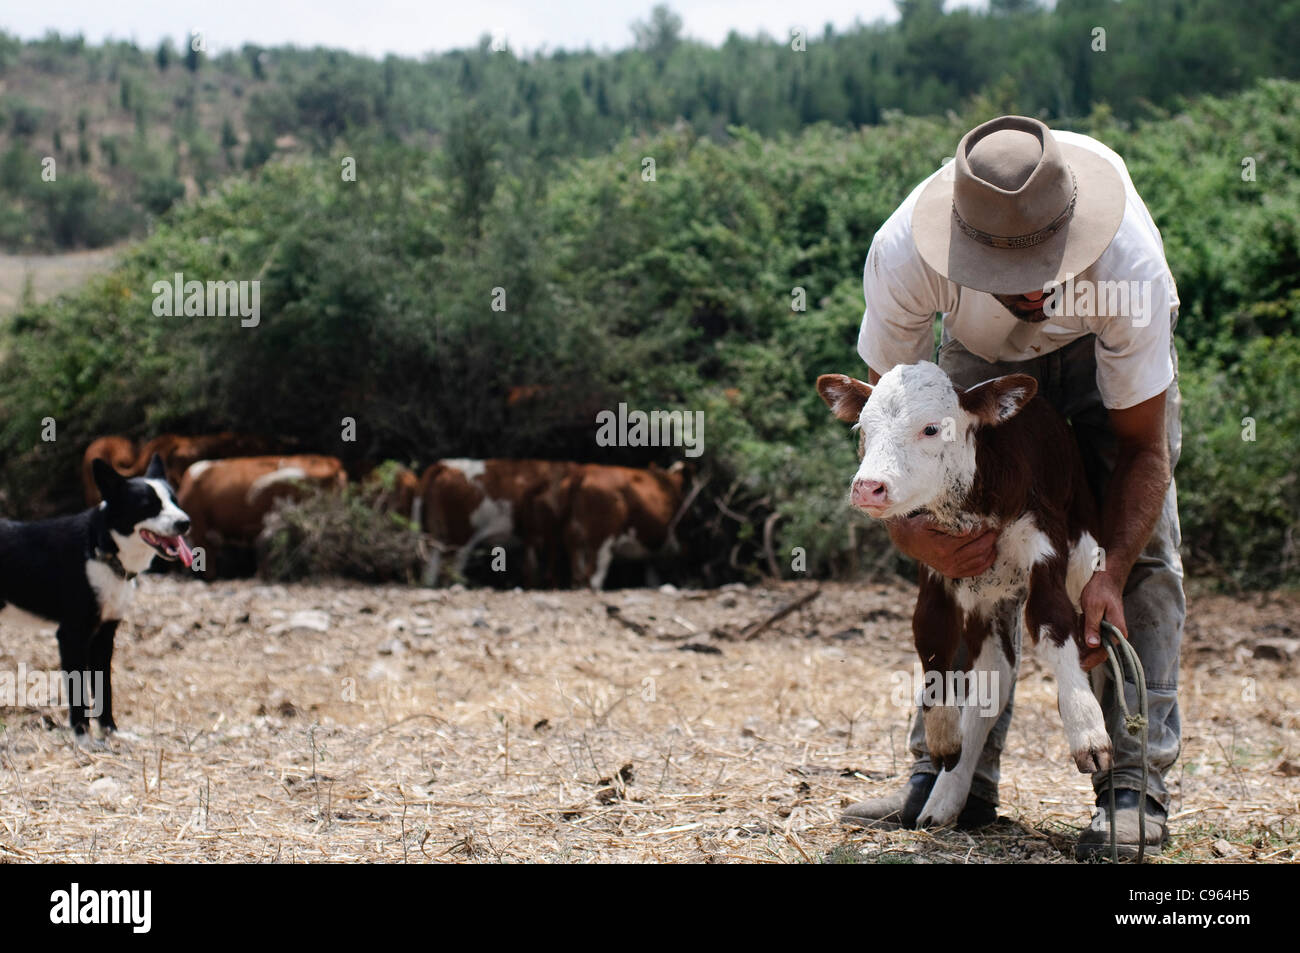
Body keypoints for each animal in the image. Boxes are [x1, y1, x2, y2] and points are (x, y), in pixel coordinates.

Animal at [416, 459, 576, 586]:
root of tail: (445, 465)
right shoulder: (551, 532)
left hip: (435, 535)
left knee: (430, 572)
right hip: (459, 539)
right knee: (450, 572)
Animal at [816, 362, 1110, 829]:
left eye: (931, 428)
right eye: (863, 427)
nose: (868, 487)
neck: (975, 503)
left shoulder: (1046, 548)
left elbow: (1054, 628)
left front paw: (1088, 732)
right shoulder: (936, 568)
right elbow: (932, 641)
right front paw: (942, 738)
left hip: (1082, 556)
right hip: (987, 601)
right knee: (995, 676)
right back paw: (944, 797)